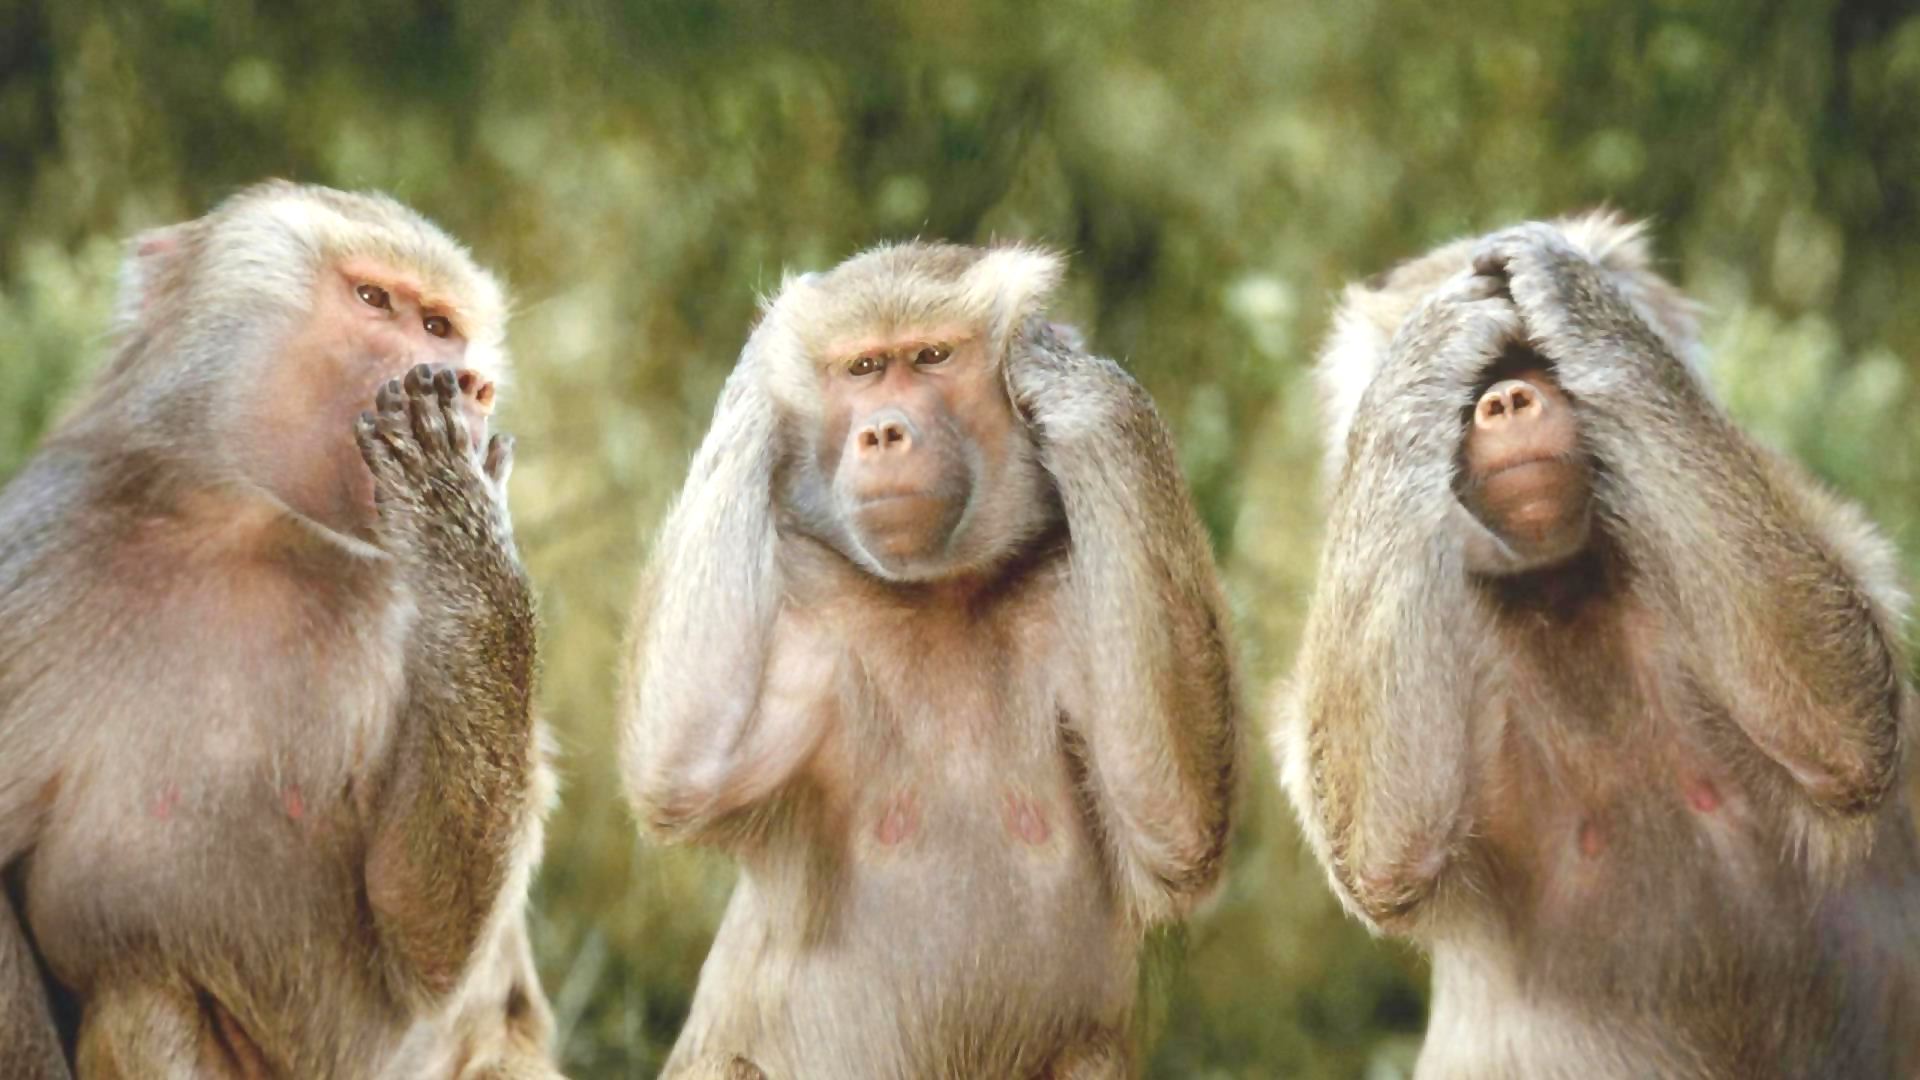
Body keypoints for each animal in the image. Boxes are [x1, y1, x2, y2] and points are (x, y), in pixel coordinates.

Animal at [0, 181, 559, 1078]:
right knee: (141, 999)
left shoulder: (403, 603)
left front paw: (459, 516)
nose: (472, 385)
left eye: (442, 325)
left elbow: (423, 942)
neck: (250, 528)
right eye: (376, 302)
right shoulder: (43, 550)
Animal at [621, 242, 1238, 1079]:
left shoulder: (1069, 590)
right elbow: (683, 768)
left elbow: (1176, 828)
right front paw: (757, 371)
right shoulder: (809, 605)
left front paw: (1068, 375)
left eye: (931, 357)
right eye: (863, 368)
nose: (883, 431)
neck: (942, 594)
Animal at [1277, 214, 1920, 1078]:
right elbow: (1384, 849)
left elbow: (1847, 727)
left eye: (1537, 358)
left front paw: (1573, 292)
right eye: (1476, 379)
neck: (1563, 585)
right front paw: (1430, 341)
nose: (1507, 398)